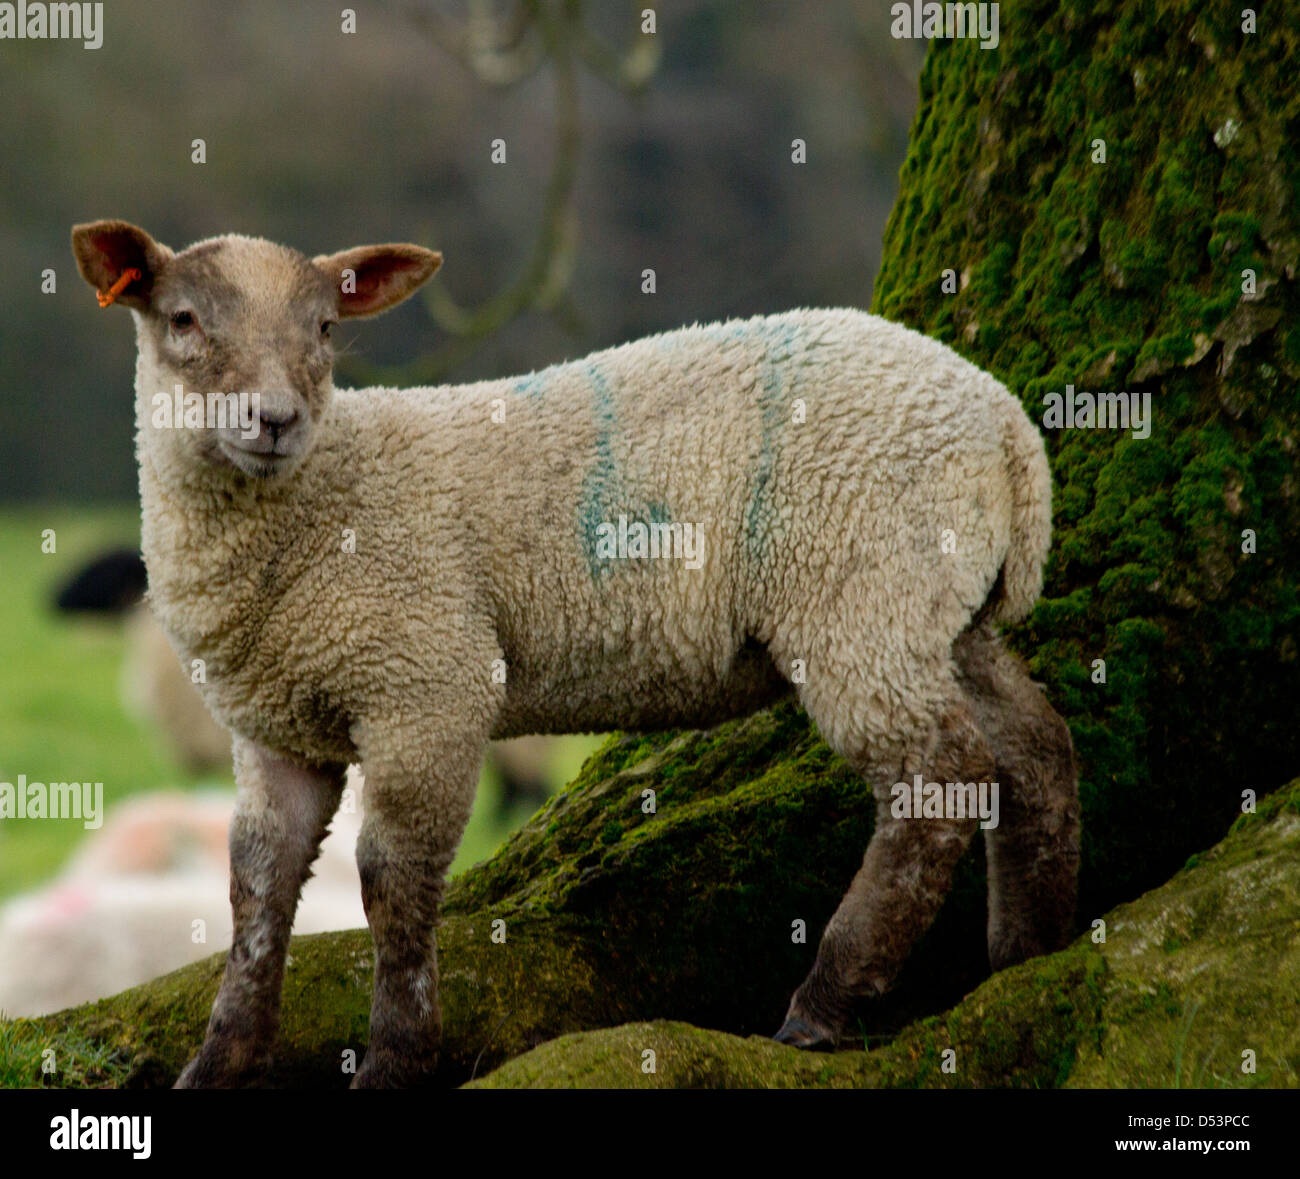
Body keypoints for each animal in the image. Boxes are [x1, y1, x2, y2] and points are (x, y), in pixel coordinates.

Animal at [71, 219, 1080, 1088]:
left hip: (861, 596)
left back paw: (826, 1003)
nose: (275, 419)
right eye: (183, 320)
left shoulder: (428, 681)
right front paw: (220, 1062)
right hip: (940, 610)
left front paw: (397, 1059)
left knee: (939, 779)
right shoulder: (277, 727)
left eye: (324, 327)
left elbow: (393, 879)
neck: (319, 498)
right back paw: (1025, 951)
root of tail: (1009, 433)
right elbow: (255, 888)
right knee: (1031, 747)